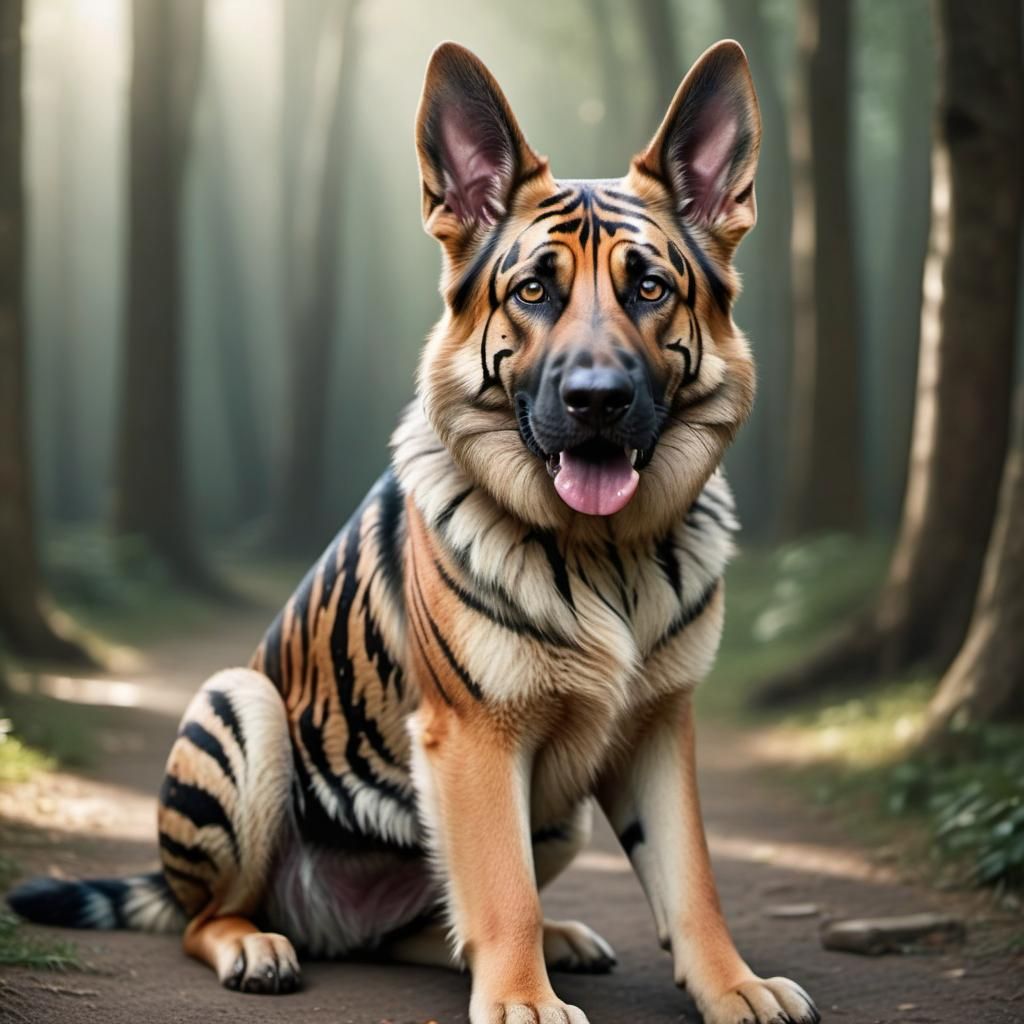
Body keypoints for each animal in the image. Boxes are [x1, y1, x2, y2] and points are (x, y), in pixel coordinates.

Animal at [9, 40, 818, 1024]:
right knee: (212, 916)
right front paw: (523, 1003)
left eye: (650, 289)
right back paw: (255, 945)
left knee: (425, 923)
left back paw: (547, 938)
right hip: (240, 708)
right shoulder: (474, 738)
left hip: (559, 813)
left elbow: (692, 878)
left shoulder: (661, 731)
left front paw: (733, 985)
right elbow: (502, 887)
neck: (608, 551)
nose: (596, 400)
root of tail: (326, 920)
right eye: (534, 291)